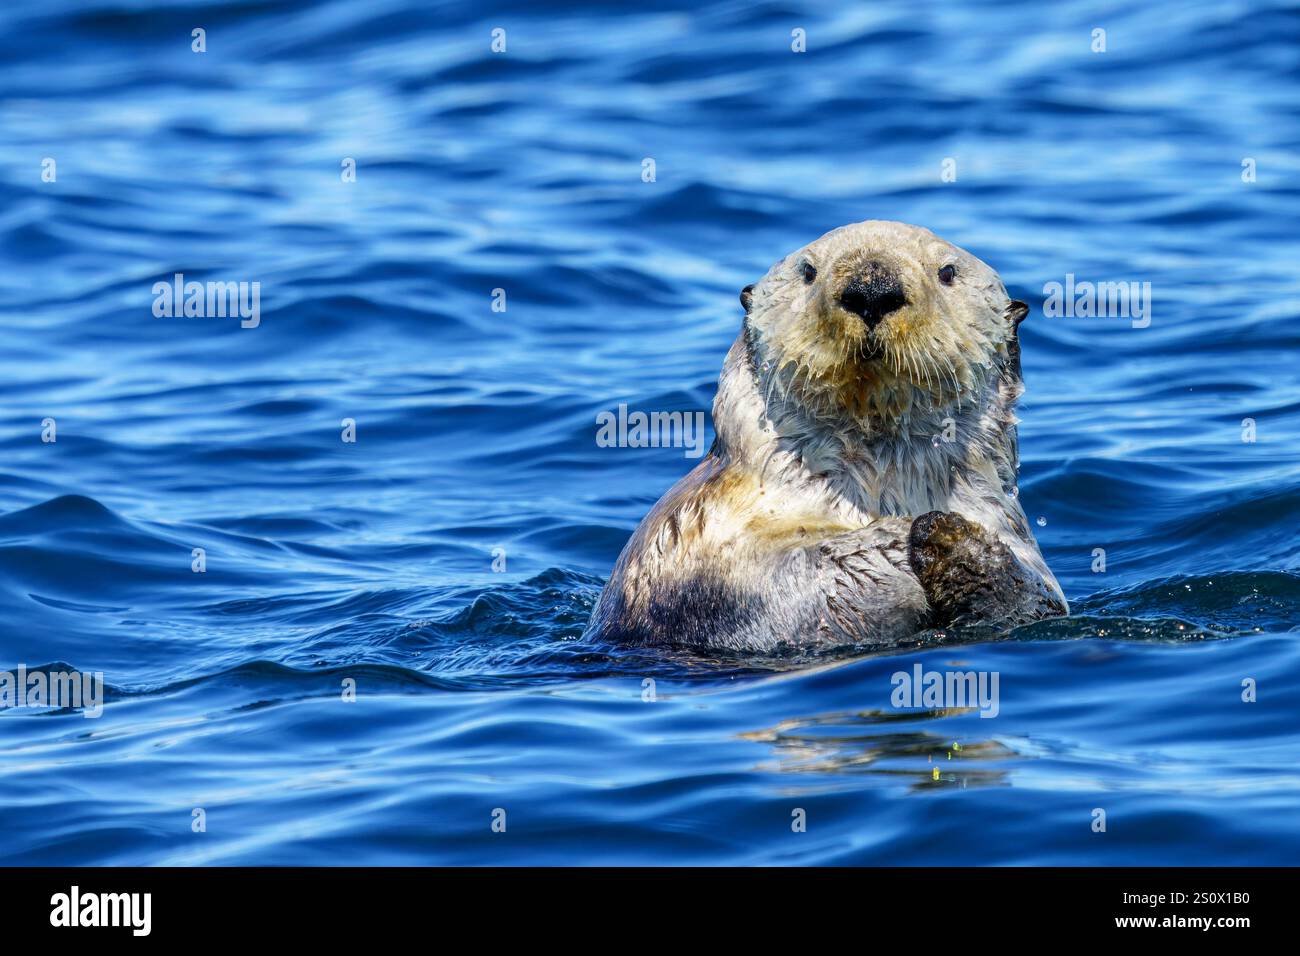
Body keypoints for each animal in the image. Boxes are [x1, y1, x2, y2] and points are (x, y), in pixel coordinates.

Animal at [586, 220, 1067, 652]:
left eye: (947, 272)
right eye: (808, 271)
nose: (872, 289)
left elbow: (1035, 602)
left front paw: (947, 535)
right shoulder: (714, 561)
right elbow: (810, 590)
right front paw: (908, 536)